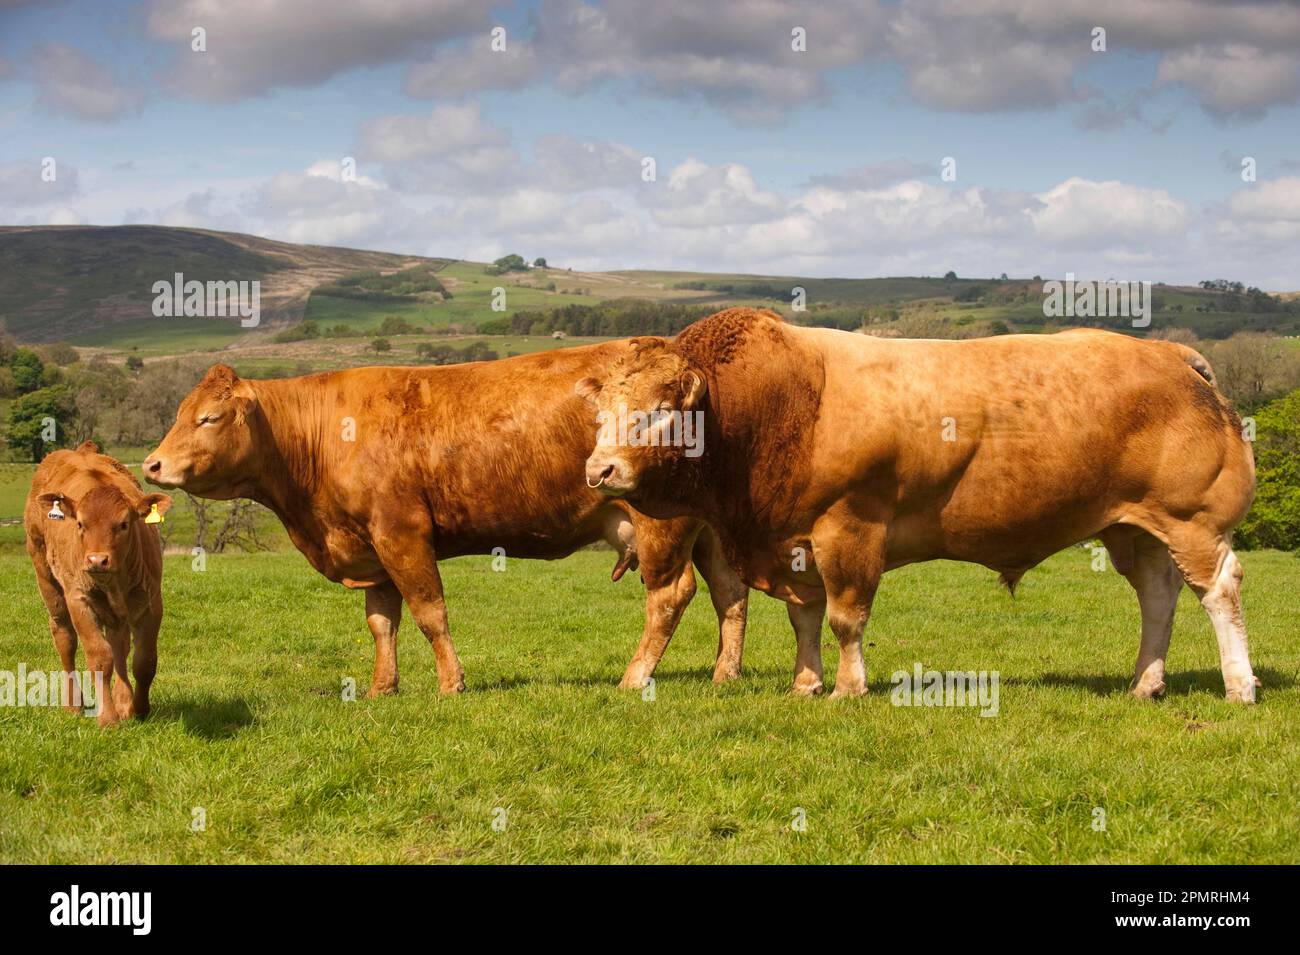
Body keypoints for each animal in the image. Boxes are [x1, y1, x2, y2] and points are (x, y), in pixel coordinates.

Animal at [24, 441, 172, 726]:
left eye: (124, 524)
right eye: (80, 524)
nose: (96, 560)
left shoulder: (151, 602)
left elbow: (144, 661)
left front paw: (139, 709)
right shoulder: (79, 600)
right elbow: (100, 658)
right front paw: (108, 718)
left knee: (119, 644)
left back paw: (124, 702)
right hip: (47, 581)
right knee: (65, 639)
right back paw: (74, 705)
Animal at [141, 349, 748, 696]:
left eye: (209, 417)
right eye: (178, 413)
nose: (151, 465)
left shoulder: (401, 533)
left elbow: (429, 612)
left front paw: (450, 684)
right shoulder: (371, 548)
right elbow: (381, 622)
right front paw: (382, 688)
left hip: (660, 525)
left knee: (670, 595)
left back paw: (634, 678)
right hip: (710, 531)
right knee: (730, 591)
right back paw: (726, 674)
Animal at [578, 307, 1262, 703]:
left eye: (661, 411)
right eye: (601, 410)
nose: (598, 470)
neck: (776, 403)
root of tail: (1175, 355)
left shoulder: (849, 527)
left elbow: (845, 617)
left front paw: (847, 689)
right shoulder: (792, 540)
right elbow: (805, 617)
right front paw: (806, 684)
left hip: (1193, 521)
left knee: (1220, 590)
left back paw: (1239, 685)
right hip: (1134, 528)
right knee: (1158, 595)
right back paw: (1146, 683)